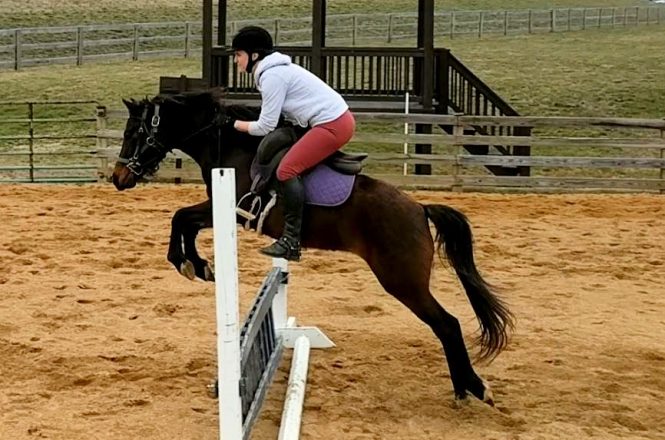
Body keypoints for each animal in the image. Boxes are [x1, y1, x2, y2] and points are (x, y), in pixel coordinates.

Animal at [111, 89, 514, 405]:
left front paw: (189, 263)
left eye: (134, 132)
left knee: (447, 324)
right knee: (447, 325)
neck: (229, 146)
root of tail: (419, 208)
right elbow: (183, 221)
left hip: (403, 282)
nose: (118, 178)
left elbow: (180, 218)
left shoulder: (231, 209)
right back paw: (464, 388)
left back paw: (474, 387)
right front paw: (198, 265)